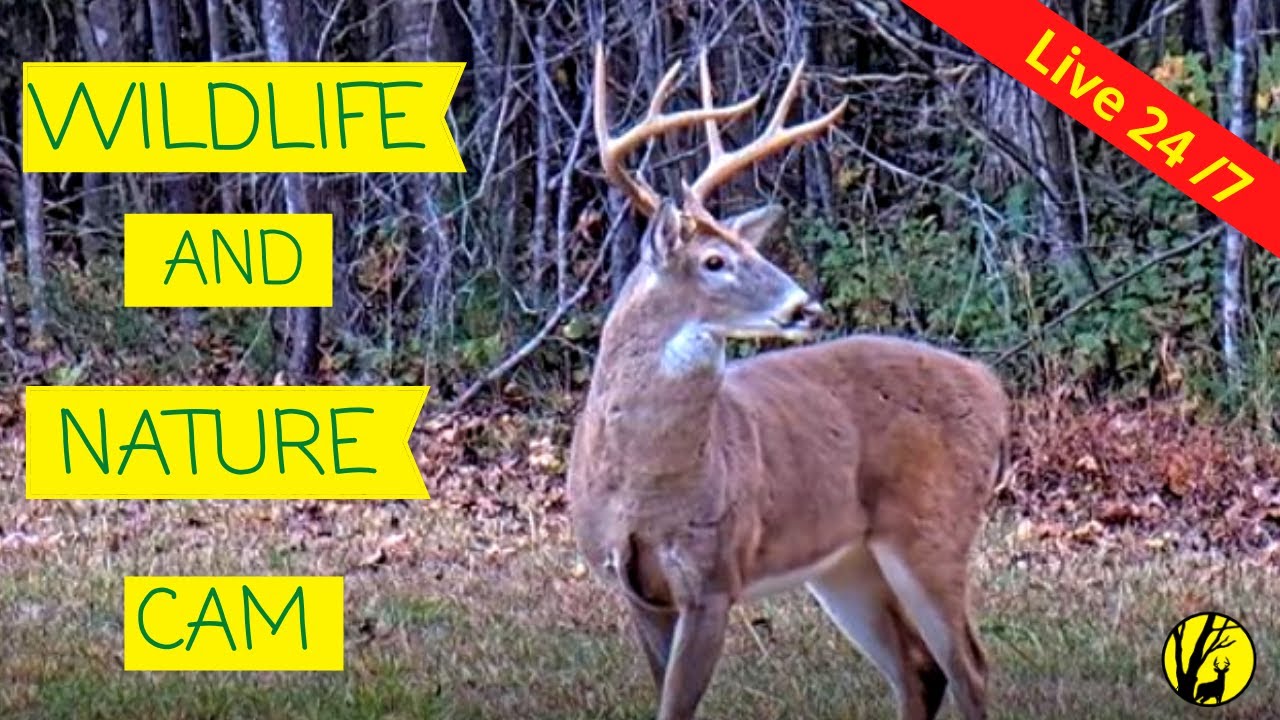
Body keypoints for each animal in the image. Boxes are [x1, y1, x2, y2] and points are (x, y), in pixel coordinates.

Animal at [567, 42, 1009, 720]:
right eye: (715, 261)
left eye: (752, 252)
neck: (642, 488)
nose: (807, 307)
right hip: (846, 563)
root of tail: (991, 386)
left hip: (933, 528)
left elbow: (677, 706)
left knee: (970, 668)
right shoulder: (637, 589)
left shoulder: (714, 577)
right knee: (920, 669)